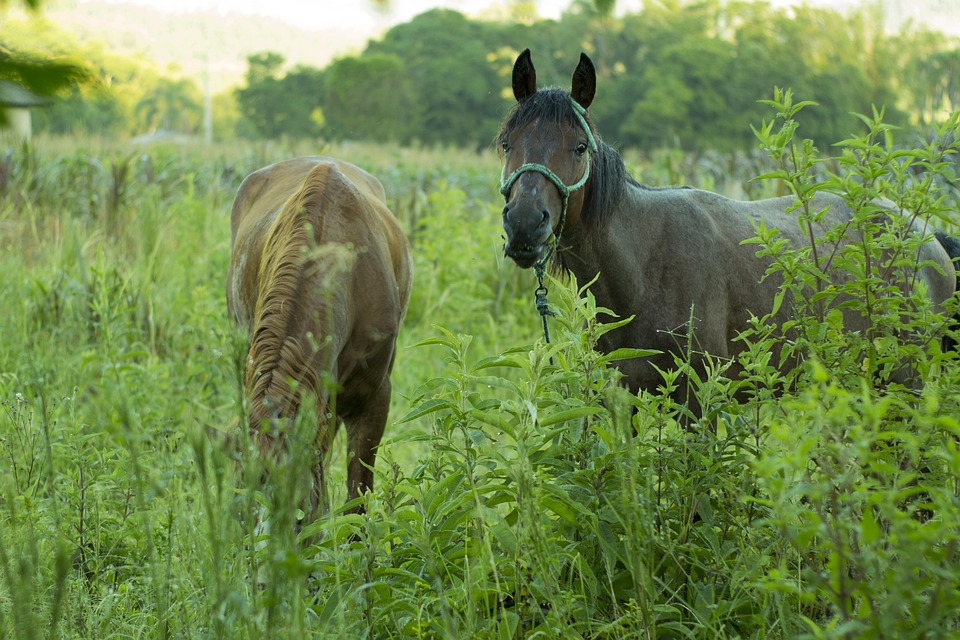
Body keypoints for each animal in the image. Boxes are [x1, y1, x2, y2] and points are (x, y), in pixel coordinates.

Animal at [498, 49, 960, 412]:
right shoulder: (619, 396)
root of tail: (929, 237)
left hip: (906, 380)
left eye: (579, 147)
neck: (643, 268)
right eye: (506, 143)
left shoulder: (700, 399)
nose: (524, 223)